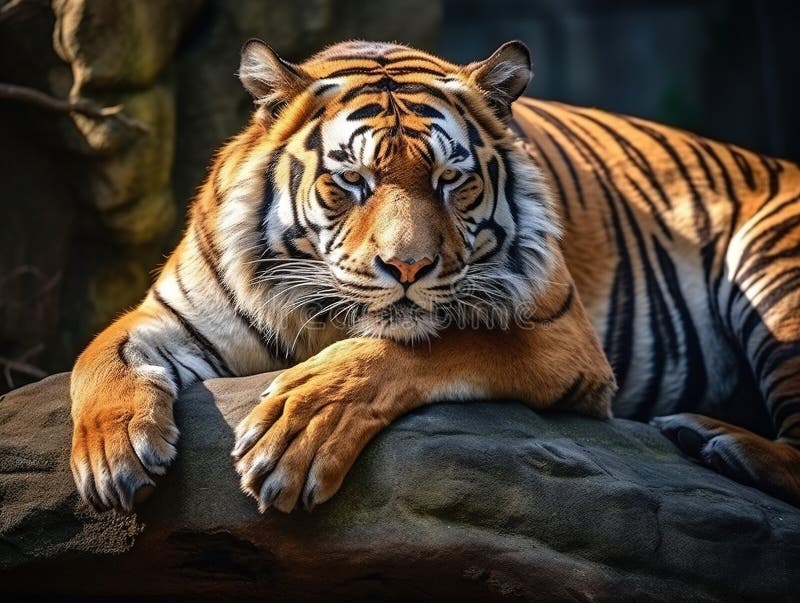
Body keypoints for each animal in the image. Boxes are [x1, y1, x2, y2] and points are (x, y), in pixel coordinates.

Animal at [69, 38, 800, 515]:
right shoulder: (170, 313)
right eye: (352, 181)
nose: (408, 266)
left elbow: (419, 344)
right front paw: (112, 458)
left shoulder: (559, 333)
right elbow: (95, 358)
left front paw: (298, 430)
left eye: (452, 179)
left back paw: (716, 441)